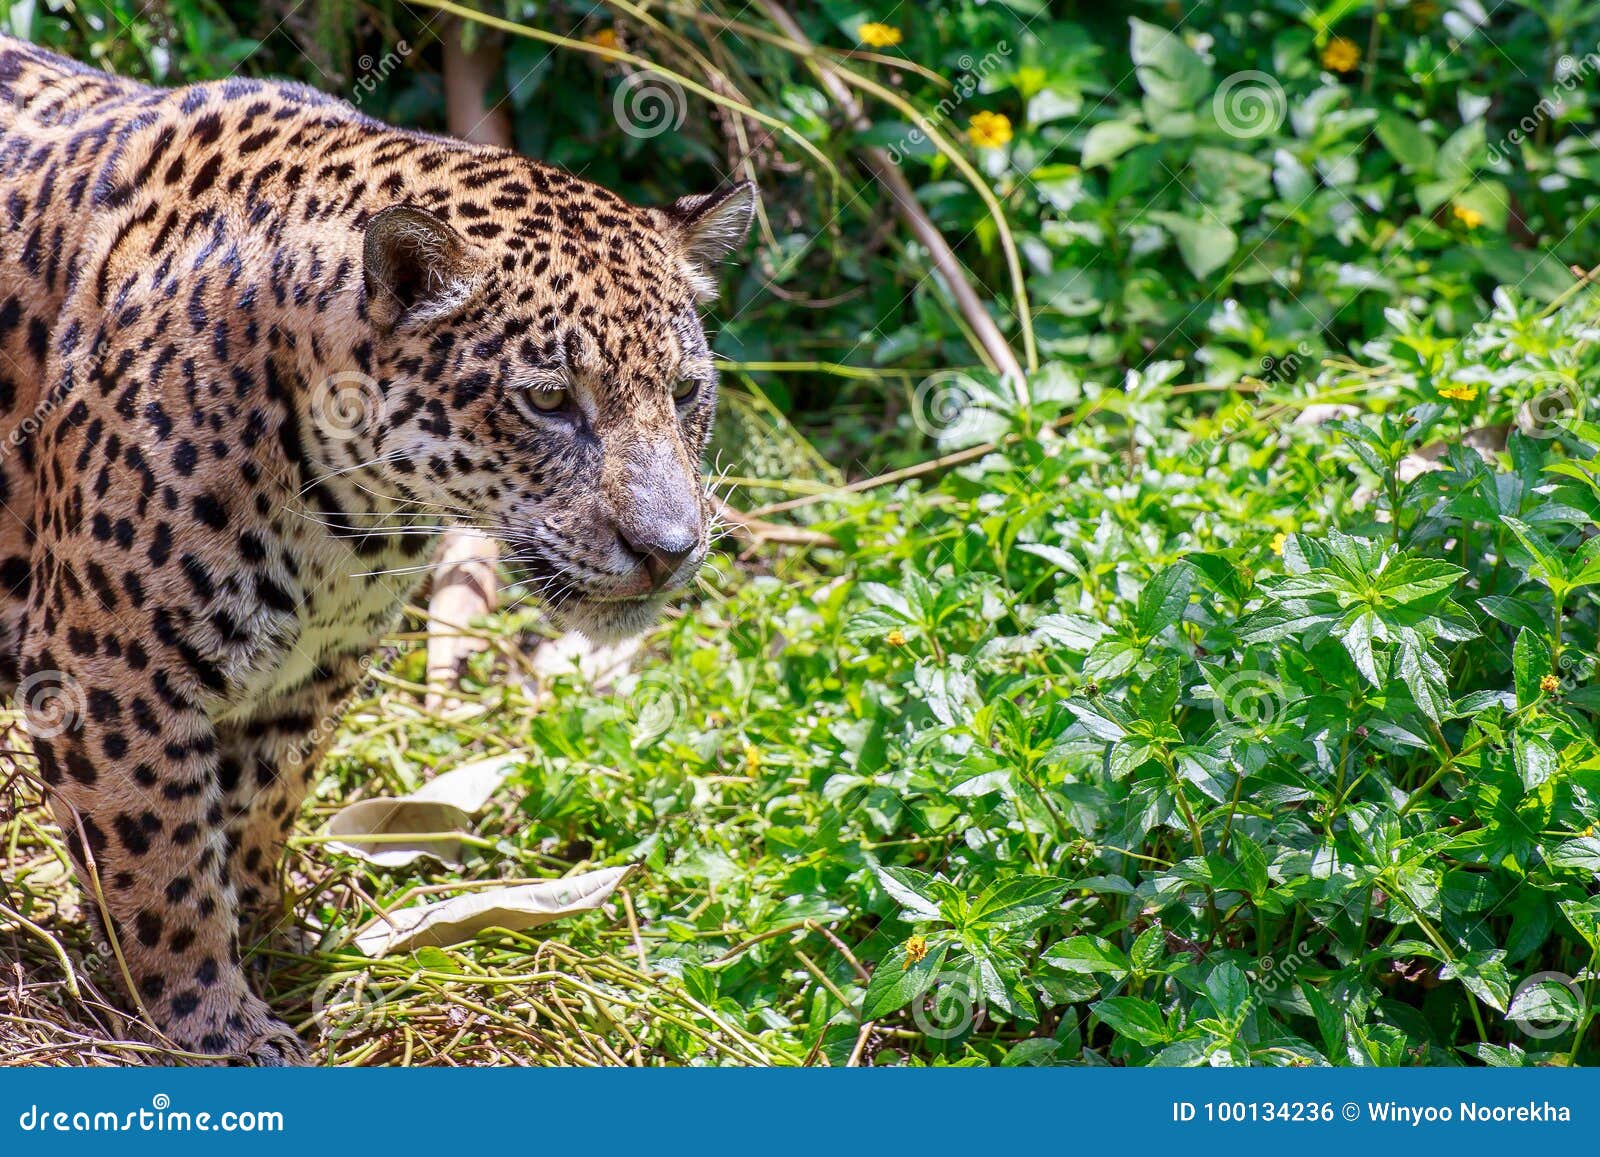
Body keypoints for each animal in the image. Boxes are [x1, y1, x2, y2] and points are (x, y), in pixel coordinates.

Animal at [0, 34, 753, 1065]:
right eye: (549, 400)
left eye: (683, 392)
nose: (671, 549)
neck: (352, 519)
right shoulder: (106, 674)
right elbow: (162, 861)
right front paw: (215, 1019)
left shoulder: (314, 671)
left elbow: (260, 805)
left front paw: (275, 928)